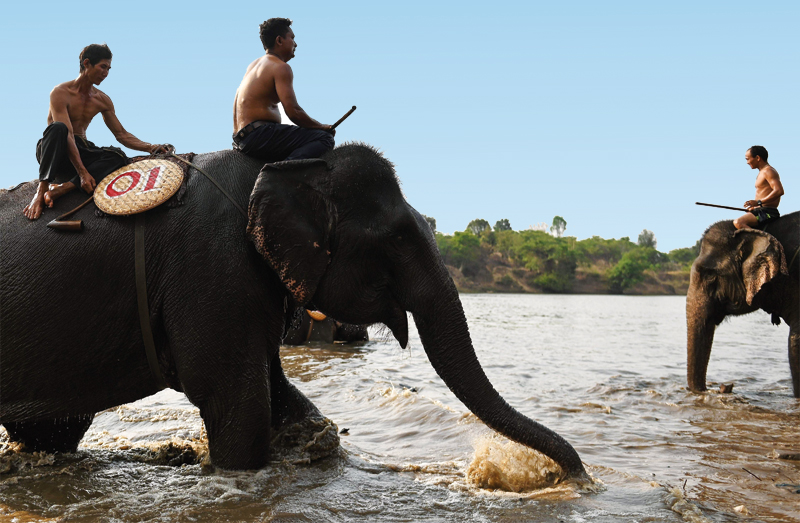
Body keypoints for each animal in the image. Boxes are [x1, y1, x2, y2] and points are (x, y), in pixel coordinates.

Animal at [0, 144, 588, 479]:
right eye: (397, 238)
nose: (572, 476)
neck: (278, 167)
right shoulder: (211, 264)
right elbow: (236, 401)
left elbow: (279, 392)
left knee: (54, 431)